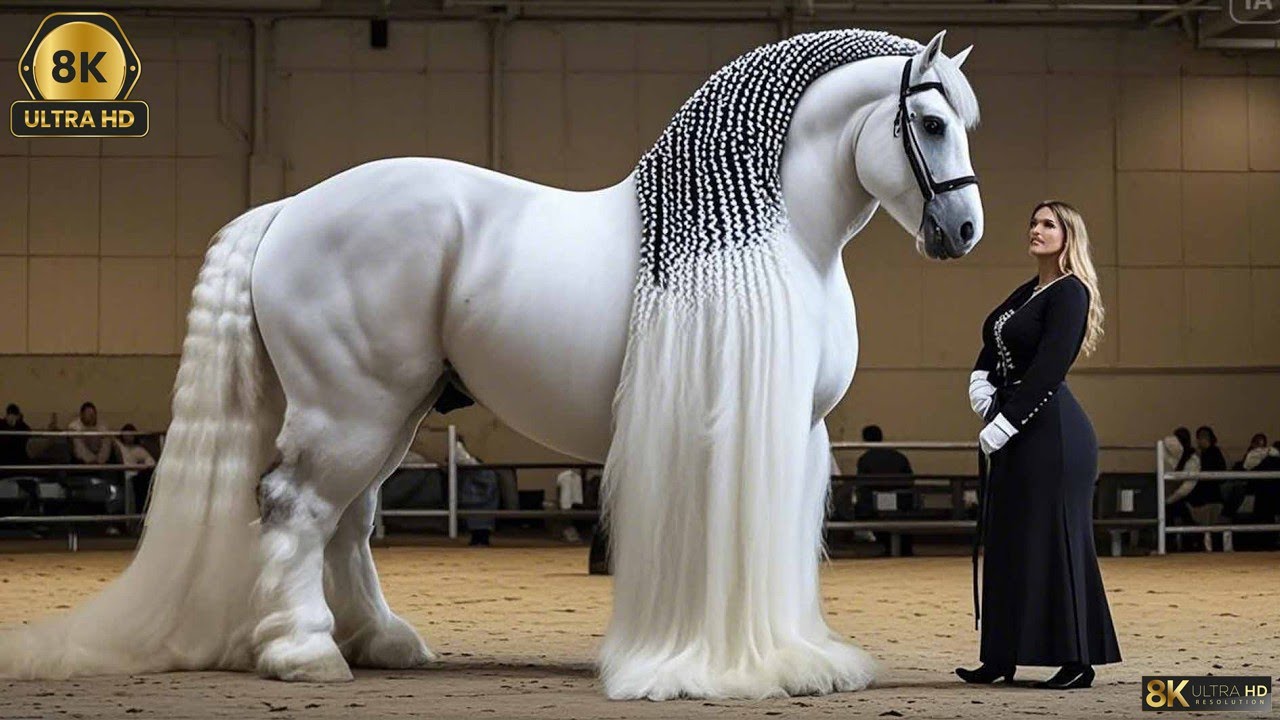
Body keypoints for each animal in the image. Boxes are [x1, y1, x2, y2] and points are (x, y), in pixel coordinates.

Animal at [0, 29, 982, 701]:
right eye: (931, 122)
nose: (965, 231)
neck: (770, 237)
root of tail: (288, 209)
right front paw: (736, 668)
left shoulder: (803, 431)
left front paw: (804, 656)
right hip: (351, 410)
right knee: (296, 508)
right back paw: (307, 654)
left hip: (382, 414)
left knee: (346, 524)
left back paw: (379, 643)